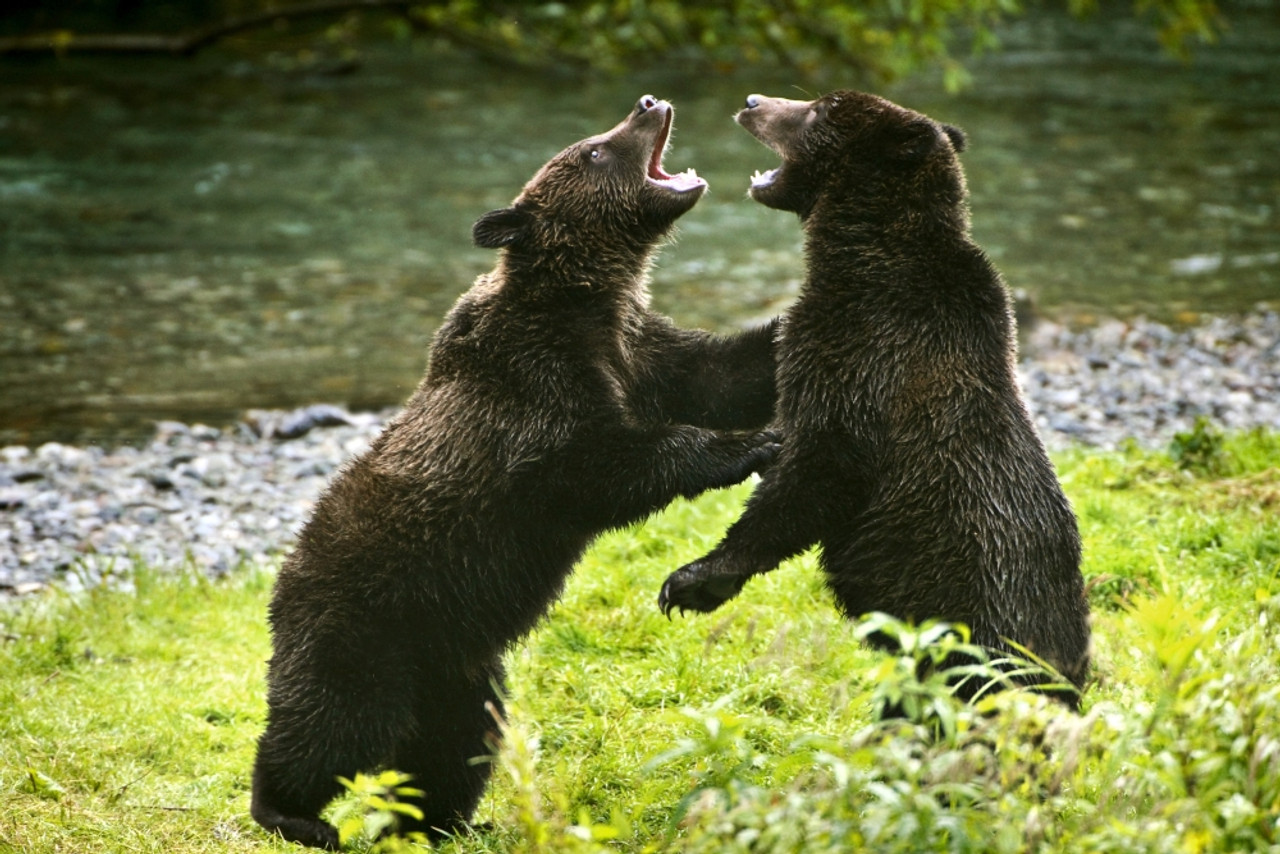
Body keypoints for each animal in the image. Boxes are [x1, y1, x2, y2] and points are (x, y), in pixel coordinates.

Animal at [250, 94, 782, 849]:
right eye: (594, 149)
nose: (649, 102)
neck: (586, 303)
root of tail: (284, 578)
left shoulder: (641, 353)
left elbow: (724, 372)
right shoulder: (534, 397)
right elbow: (599, 467)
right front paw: (751, 444)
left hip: (455, 661)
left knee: (456, 744)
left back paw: (444, 820)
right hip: (361, 622)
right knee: (329, 724)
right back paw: (291, 812)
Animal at [657, 91, 1091, 709]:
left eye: (819, 108)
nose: (753, 100)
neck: (863, 252)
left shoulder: (863, 354)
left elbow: (821, 468)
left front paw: (695, 579)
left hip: (976, 631)